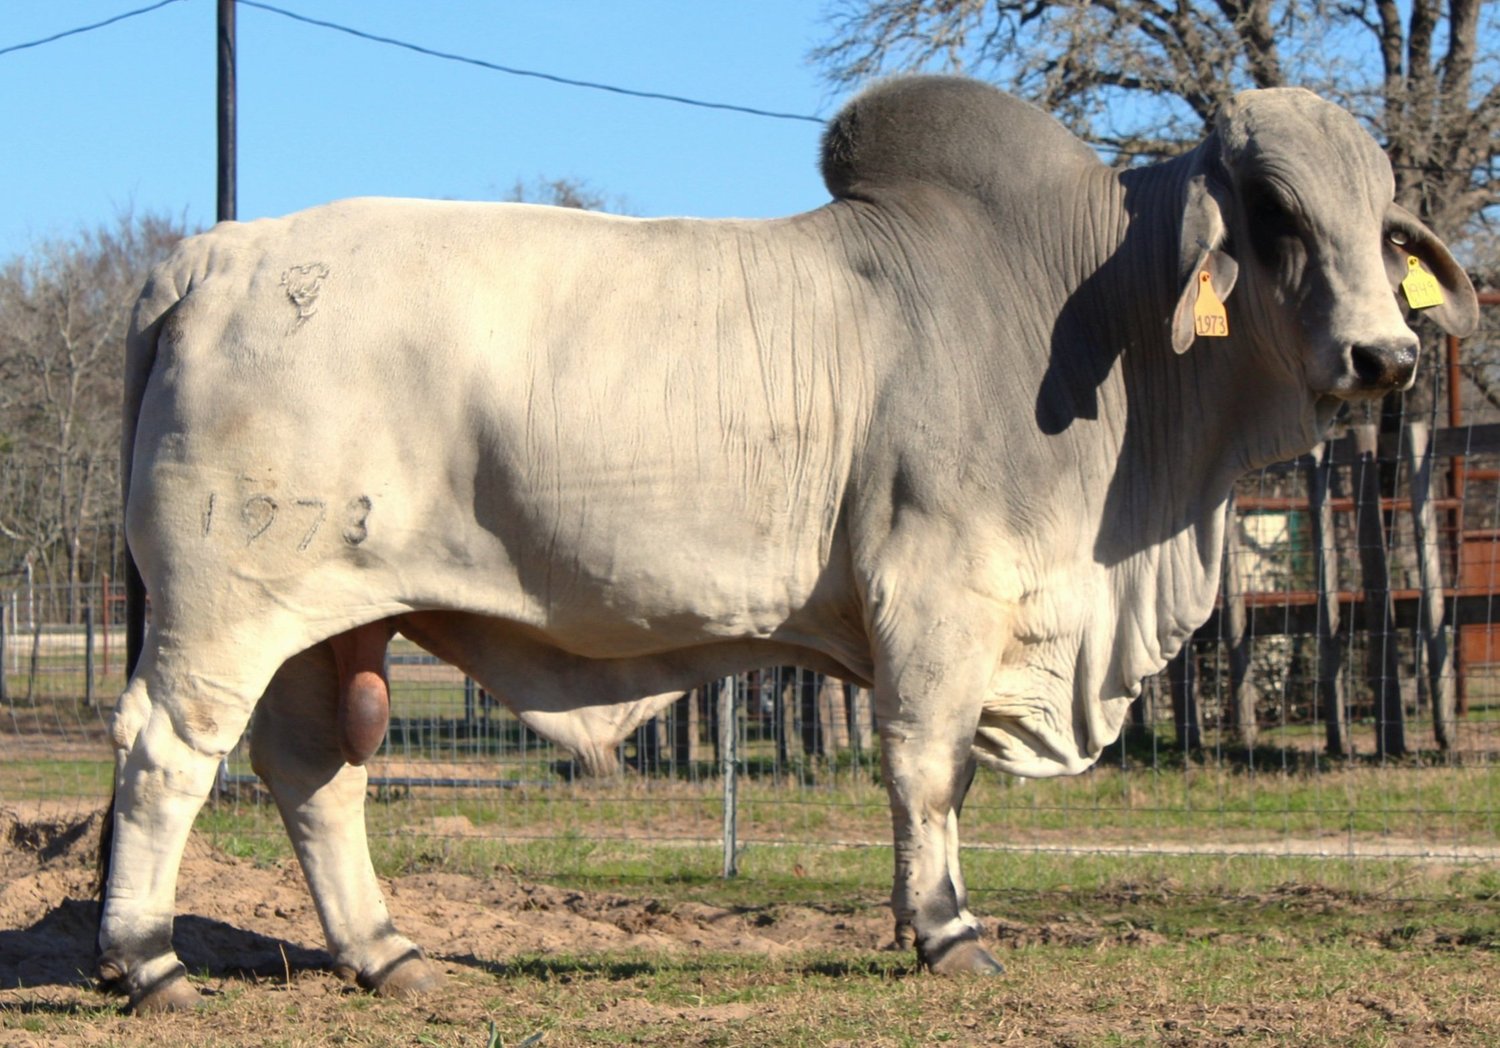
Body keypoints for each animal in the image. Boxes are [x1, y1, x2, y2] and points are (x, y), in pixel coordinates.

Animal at [97, 76, 1477, 1012]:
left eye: (1379, 220)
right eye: (1276, 212)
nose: (1386, 356)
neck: (1089, 313)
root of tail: (210, 257)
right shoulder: (935, 589)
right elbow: (929, 770)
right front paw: (947, 931)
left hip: (329, 624)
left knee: (311, 770)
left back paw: (385, 953)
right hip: (226, 608)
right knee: (170, 751)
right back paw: (146, 960)